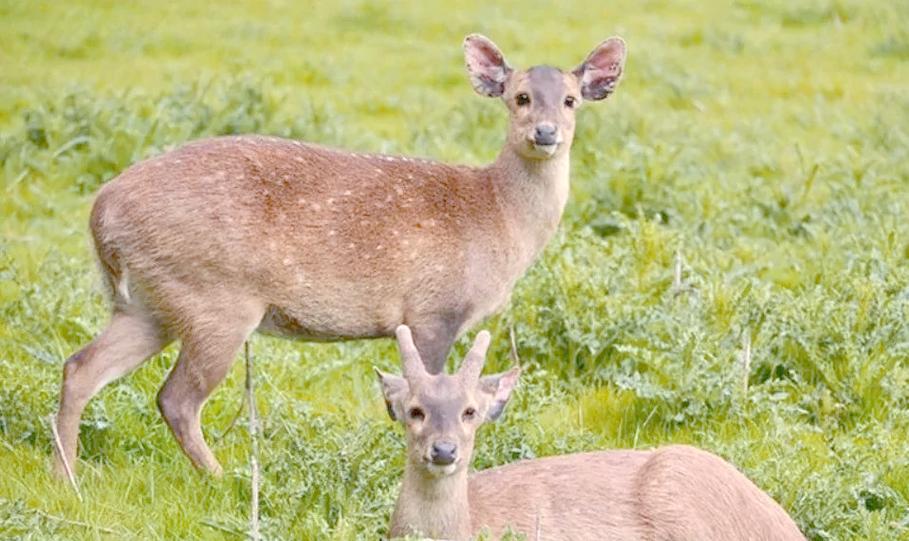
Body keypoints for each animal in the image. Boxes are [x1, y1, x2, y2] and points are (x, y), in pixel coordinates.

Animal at [52, 34, 628, 477]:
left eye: (571, 100)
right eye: (520, 97)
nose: (546, 132)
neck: (496, 216)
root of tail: (102, 210)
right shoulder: (433, 309)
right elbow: (427, 389)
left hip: (148, 302)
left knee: (80, 366)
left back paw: (67, 477)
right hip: (215, 296)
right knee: (175, 398)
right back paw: (224, 477)